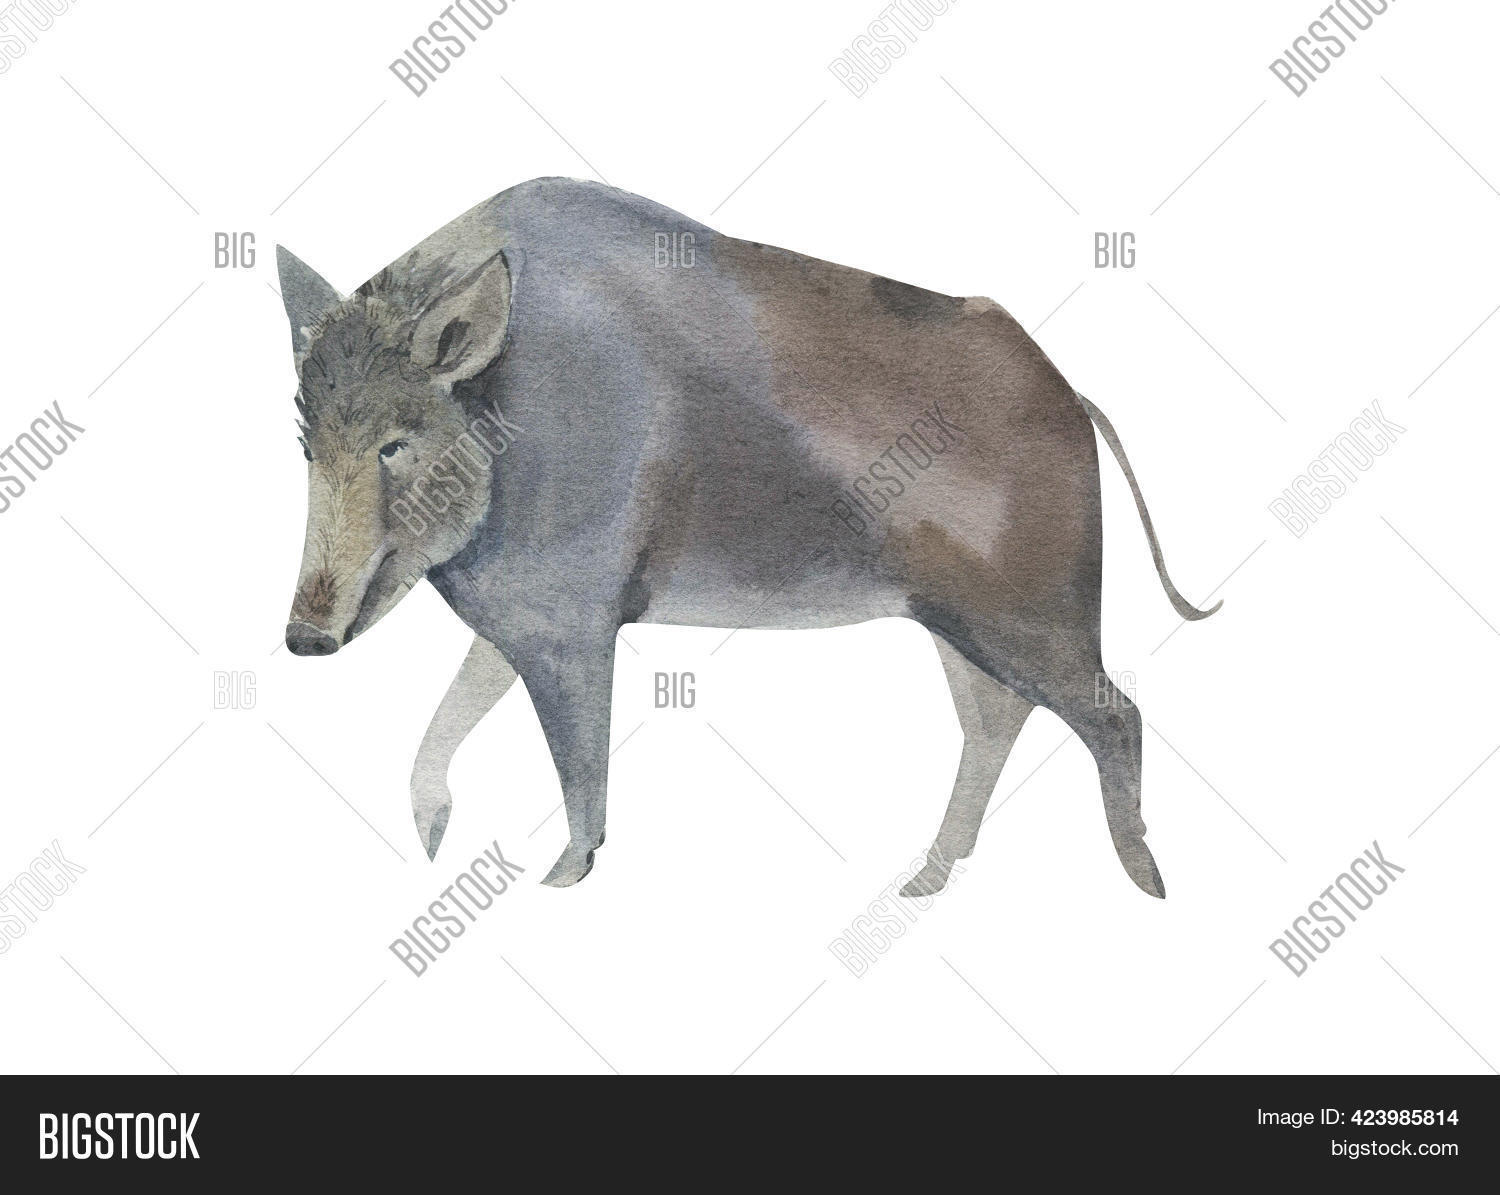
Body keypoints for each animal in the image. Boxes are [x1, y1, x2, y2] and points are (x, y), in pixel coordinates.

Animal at [277, 177, 1218, 896]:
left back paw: (1149, 887)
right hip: (954, 625)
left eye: (396, 441)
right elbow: (449, 719)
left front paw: (558, 879)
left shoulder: (574, 624)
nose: (302, 637)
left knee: (1115, 714)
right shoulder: (521, 621)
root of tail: (1075, 399)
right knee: (997, 723)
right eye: (306, 440)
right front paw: (435, 838)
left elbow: (579, 759)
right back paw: (923, 883)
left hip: (1032, 614)